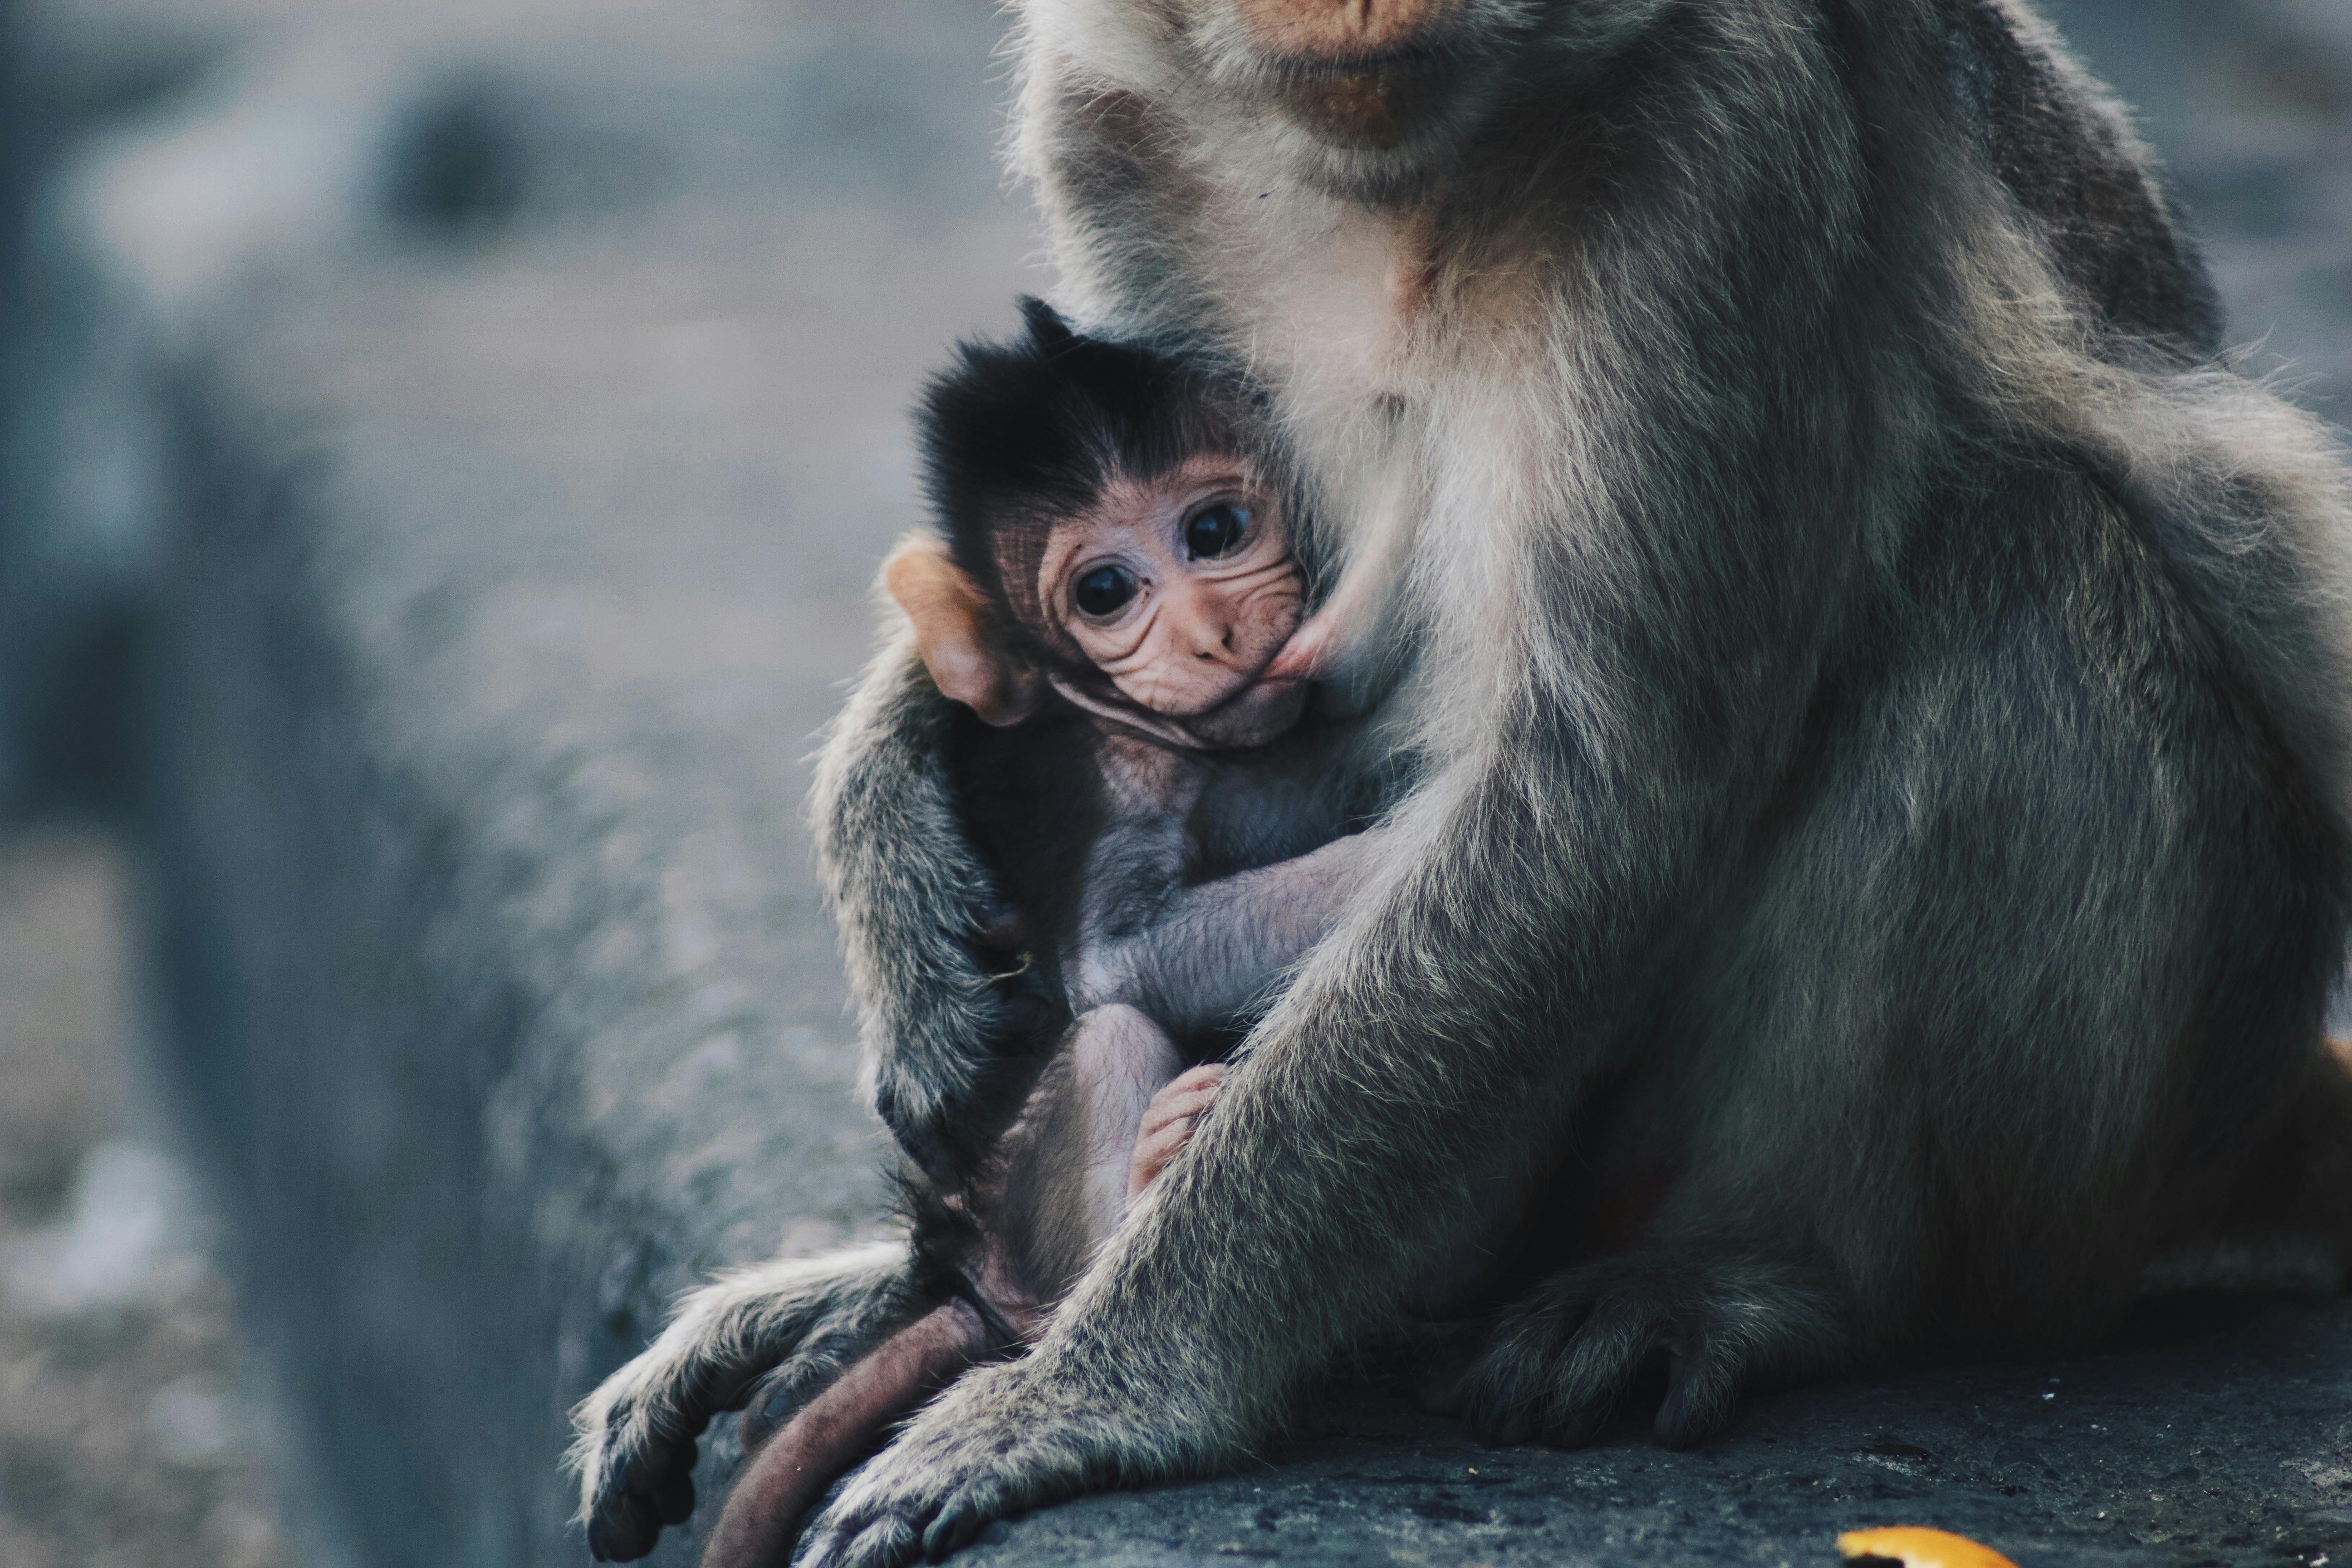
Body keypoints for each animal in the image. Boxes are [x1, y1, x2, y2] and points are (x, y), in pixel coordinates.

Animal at [575, 2, 2352, 1564]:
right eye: (1110, 585)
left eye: (1217, 533)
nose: (1208, 624)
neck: (1401, 189)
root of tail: (2263, 1113)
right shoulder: (1109, 122)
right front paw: (892, 824)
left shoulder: (1725, 146)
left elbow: (1588, 801)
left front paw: (1093, 1391)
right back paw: (888, 1284)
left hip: (2134, 1107)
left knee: (2023, 569)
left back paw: (1765, 1278)